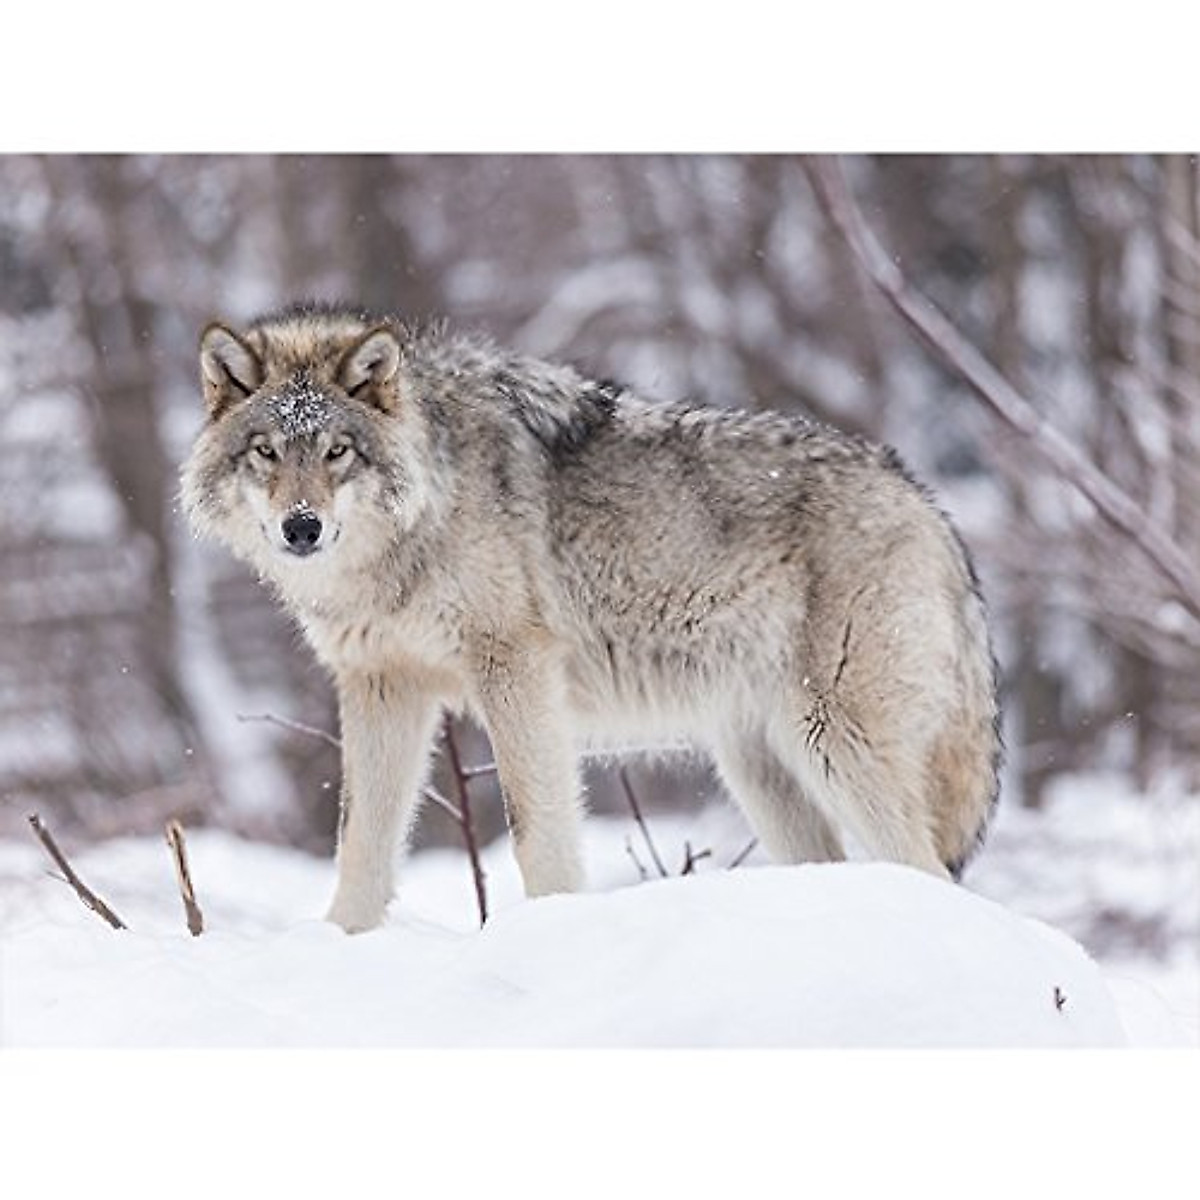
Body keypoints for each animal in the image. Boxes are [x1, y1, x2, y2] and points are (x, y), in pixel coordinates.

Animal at [181, 300, 1001, 933]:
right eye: (266, 452)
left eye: (337, 451)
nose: (302, 528)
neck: (415, 524)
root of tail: (928, 504)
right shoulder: (381, 684)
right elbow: (360, 843)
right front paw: (341, 941)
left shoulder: (514, 667)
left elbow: (534, 828)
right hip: (762, 768)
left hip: (835, 746)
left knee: (929, 868)